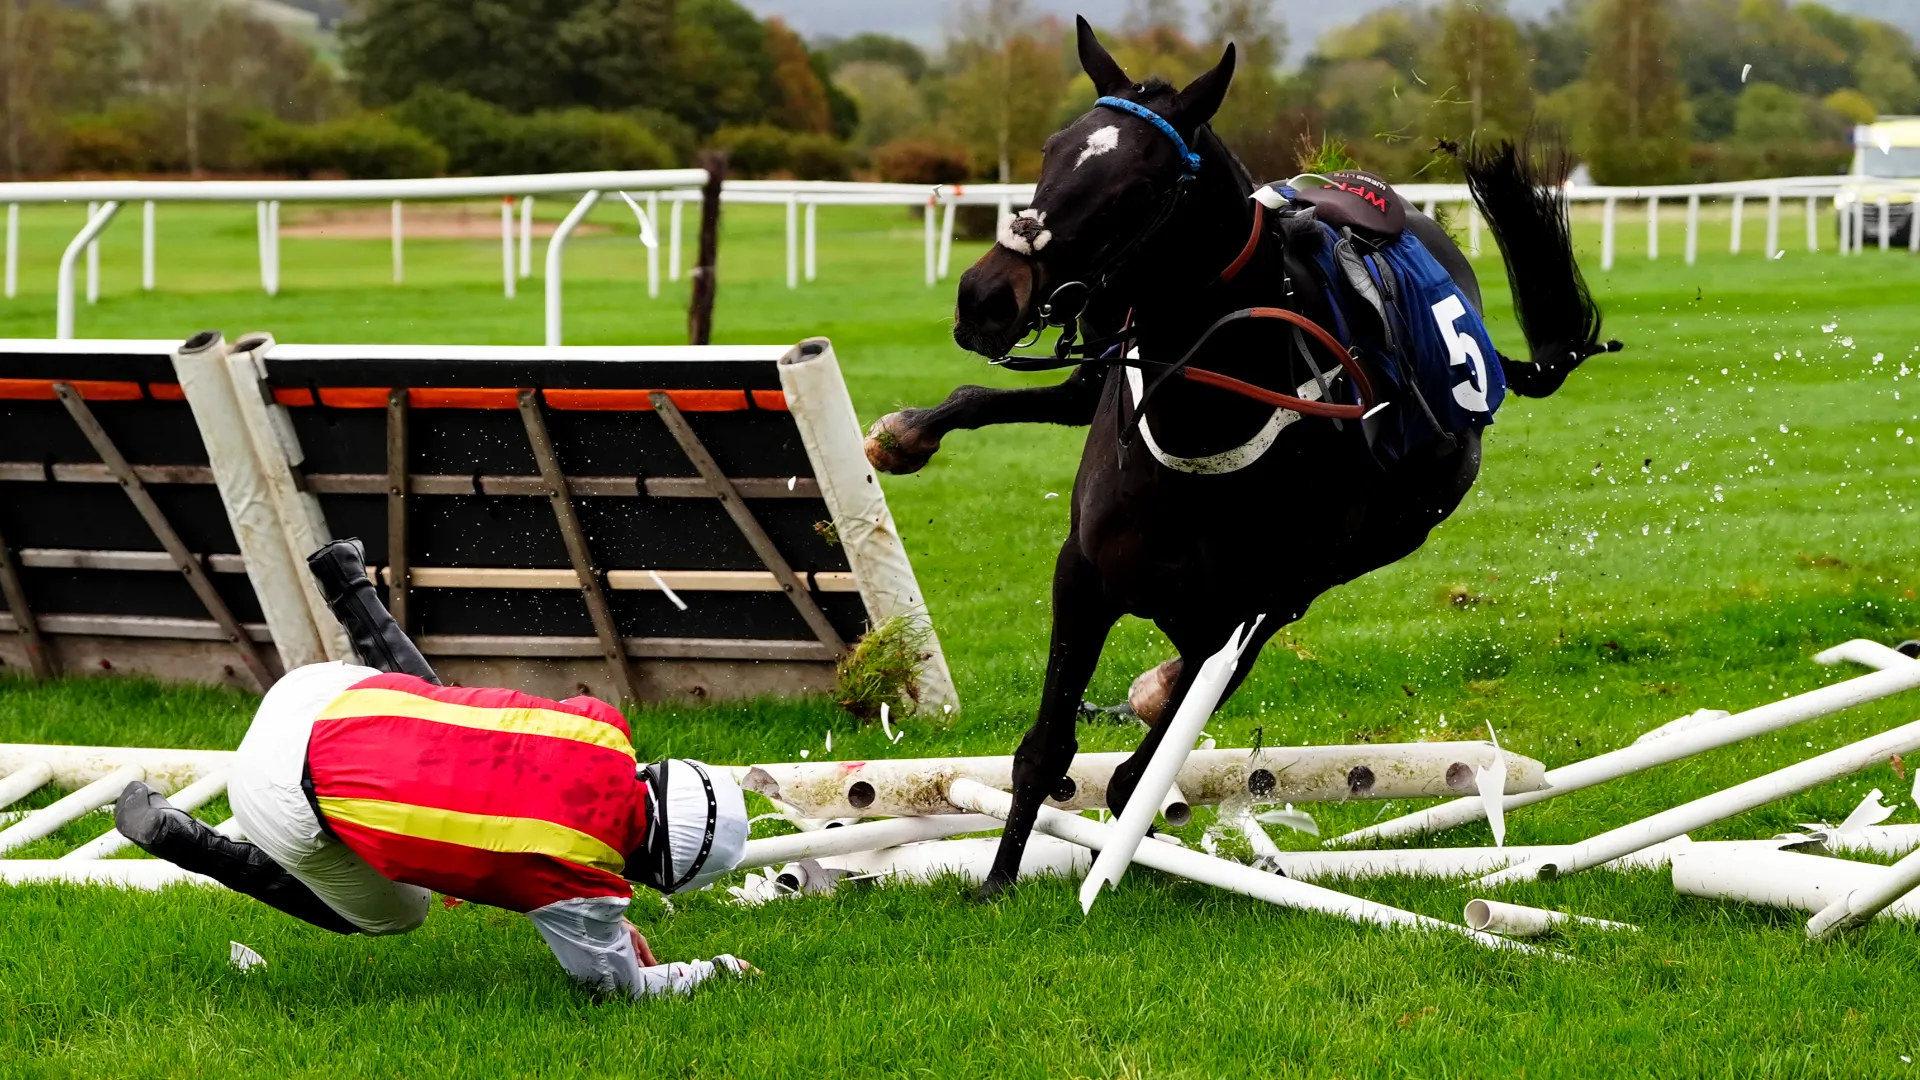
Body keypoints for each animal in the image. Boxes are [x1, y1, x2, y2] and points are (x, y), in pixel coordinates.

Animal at [863, 17, 1615, 899]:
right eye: (1053, 149)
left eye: (1137, 189)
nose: (986, 297)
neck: (1208, 421)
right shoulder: (1081, 574)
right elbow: (1047, 750)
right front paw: (998, 881)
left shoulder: (1248, 614)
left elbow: (1139, 773)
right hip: (1108, 354)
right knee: (1058, 394)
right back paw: (910, 430)